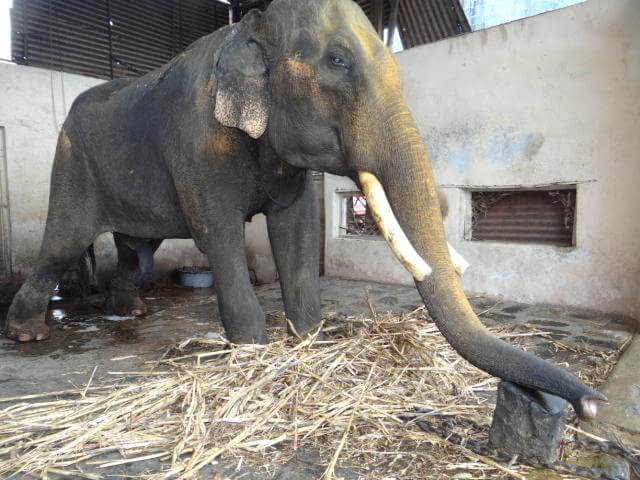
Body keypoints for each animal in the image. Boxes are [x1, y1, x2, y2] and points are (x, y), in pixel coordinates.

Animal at [4, 0, 605, 419]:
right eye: (337, 62)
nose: (589, 405)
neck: (254, 26)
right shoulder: (198, 138)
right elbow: (218, 232)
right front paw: (252, 346)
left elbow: (294, 230)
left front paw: (309, 336)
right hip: (70, 161)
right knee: (62, 245)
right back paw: (29, 334)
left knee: (138, 254)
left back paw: (129, 313)